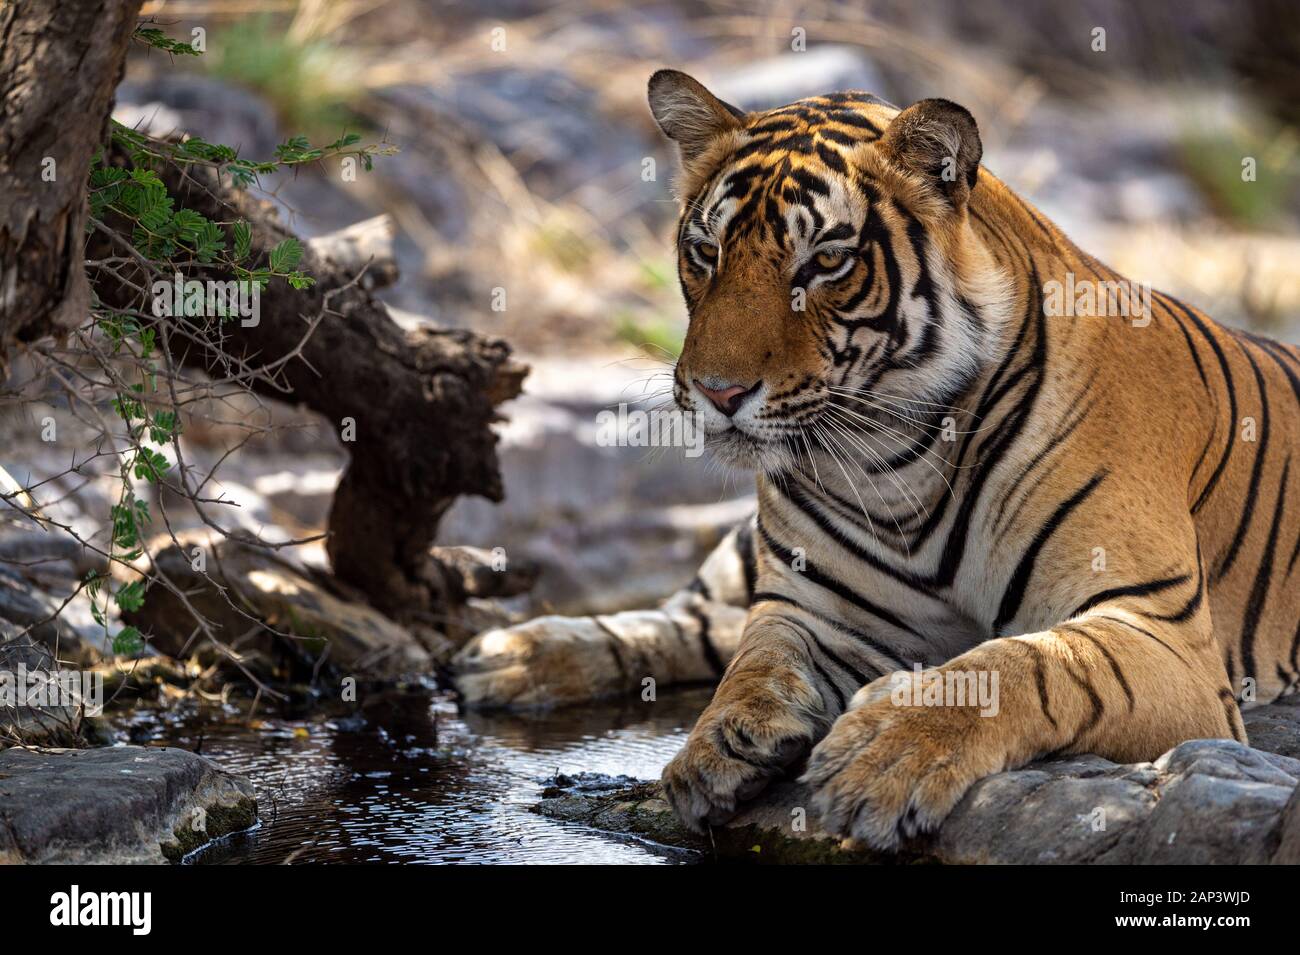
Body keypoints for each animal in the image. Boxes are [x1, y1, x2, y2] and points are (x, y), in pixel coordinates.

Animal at [452, 68, 1300, 851]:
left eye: (825, 261)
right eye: (705, 251)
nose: (718, 391)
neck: (896, 457)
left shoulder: (1160, 630)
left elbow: (1019, 663)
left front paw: (884, 756)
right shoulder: (813, 605)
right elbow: (756, 656)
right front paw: (716, 744)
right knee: (700, 614)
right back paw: (514, 655)